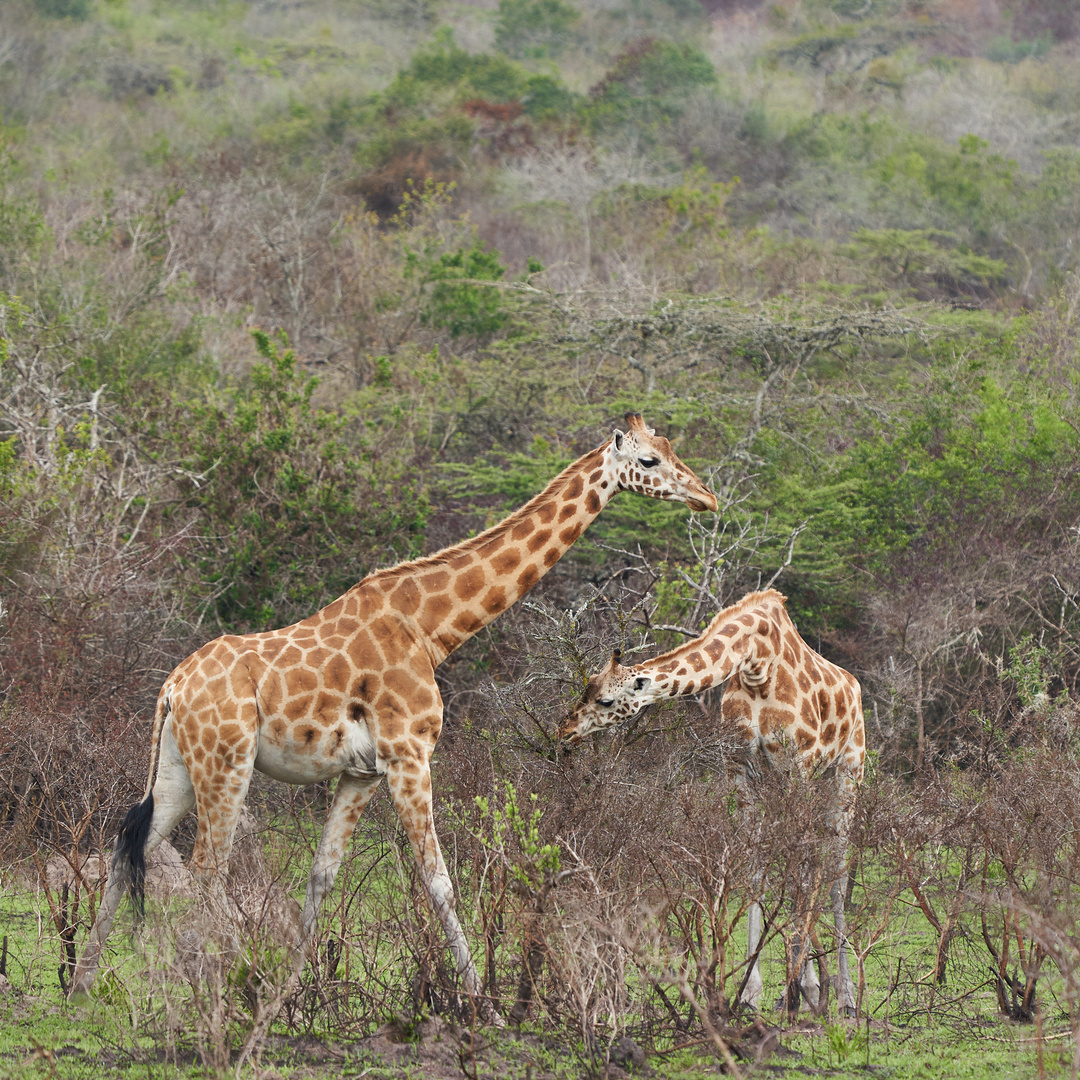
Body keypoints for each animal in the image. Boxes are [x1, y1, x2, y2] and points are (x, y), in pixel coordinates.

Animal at [69, 413, 717, 1031]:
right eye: (650, 460)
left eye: (673, 449)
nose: (706, 497)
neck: (430, 629)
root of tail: (172, 688)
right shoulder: (410, 754)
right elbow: (440, 882)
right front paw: (487, 1007)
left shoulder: (362, 773)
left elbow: (322, 875)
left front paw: (290, 992)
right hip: (226, 765)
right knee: (207, 870)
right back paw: (222, 985)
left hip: (178, 769)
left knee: (127, 851)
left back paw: (87, 987)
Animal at [557, 589, 865, 1017]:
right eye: (585, 688)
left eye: (604, 700)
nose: (564, 730)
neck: (757, 663)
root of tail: (854, 686)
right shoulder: (741, 769)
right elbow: (754, 866)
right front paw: (751, 992)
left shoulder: (798, 767)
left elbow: (800, 868)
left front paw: (793, 989)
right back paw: (811, 985)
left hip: (847, 770)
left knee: (833, 870)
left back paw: (844, 996)